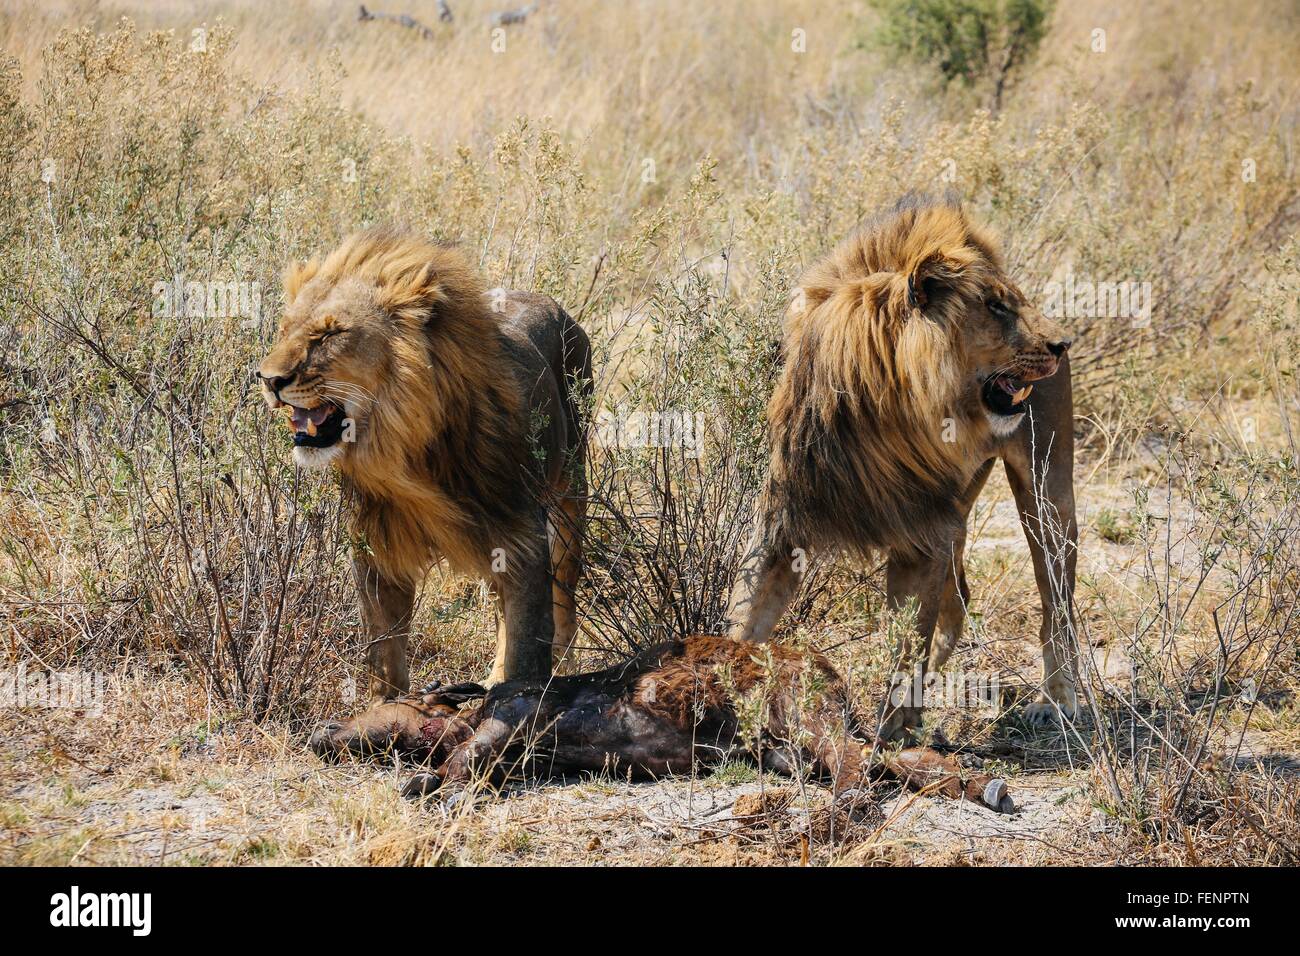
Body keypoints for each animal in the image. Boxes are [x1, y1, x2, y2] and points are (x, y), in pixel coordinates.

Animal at [257, 226, 592, 701]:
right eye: (284, 330)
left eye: (330, 334)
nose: (268, 379)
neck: (408, 452)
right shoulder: (376, 547)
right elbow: (384, 656)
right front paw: (384, 711)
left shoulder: (522, 539)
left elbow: (526, 652)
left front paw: (518, 701)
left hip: (569, 498)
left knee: (564, 594)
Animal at [725, 194, 1077, 739]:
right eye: (995, 306)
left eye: (1011, 301)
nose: (1062, 345)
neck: (883, 411)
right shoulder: (783, 523)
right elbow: (745, 621)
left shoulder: (923, 533)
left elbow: (904, 644)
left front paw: (892, 737)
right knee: (958, 600)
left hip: (1046, 494)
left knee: (1056, 605)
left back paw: (1056, 701)